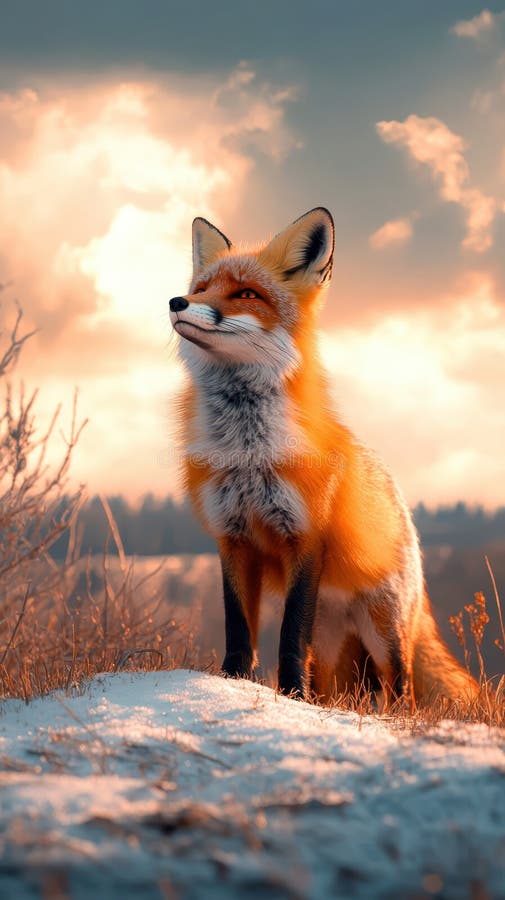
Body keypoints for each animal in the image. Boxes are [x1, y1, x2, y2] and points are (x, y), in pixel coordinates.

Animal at [169, 207, 479, 707]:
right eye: (201, 289)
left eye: (246, 294)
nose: (177, 301)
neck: (248, 452)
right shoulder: (232, 537)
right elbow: (238, 632)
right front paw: (230, 685)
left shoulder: (305, 535)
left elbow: (290, 636)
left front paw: (290, 696)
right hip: (335, 656)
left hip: (385, 636)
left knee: (403, 690)